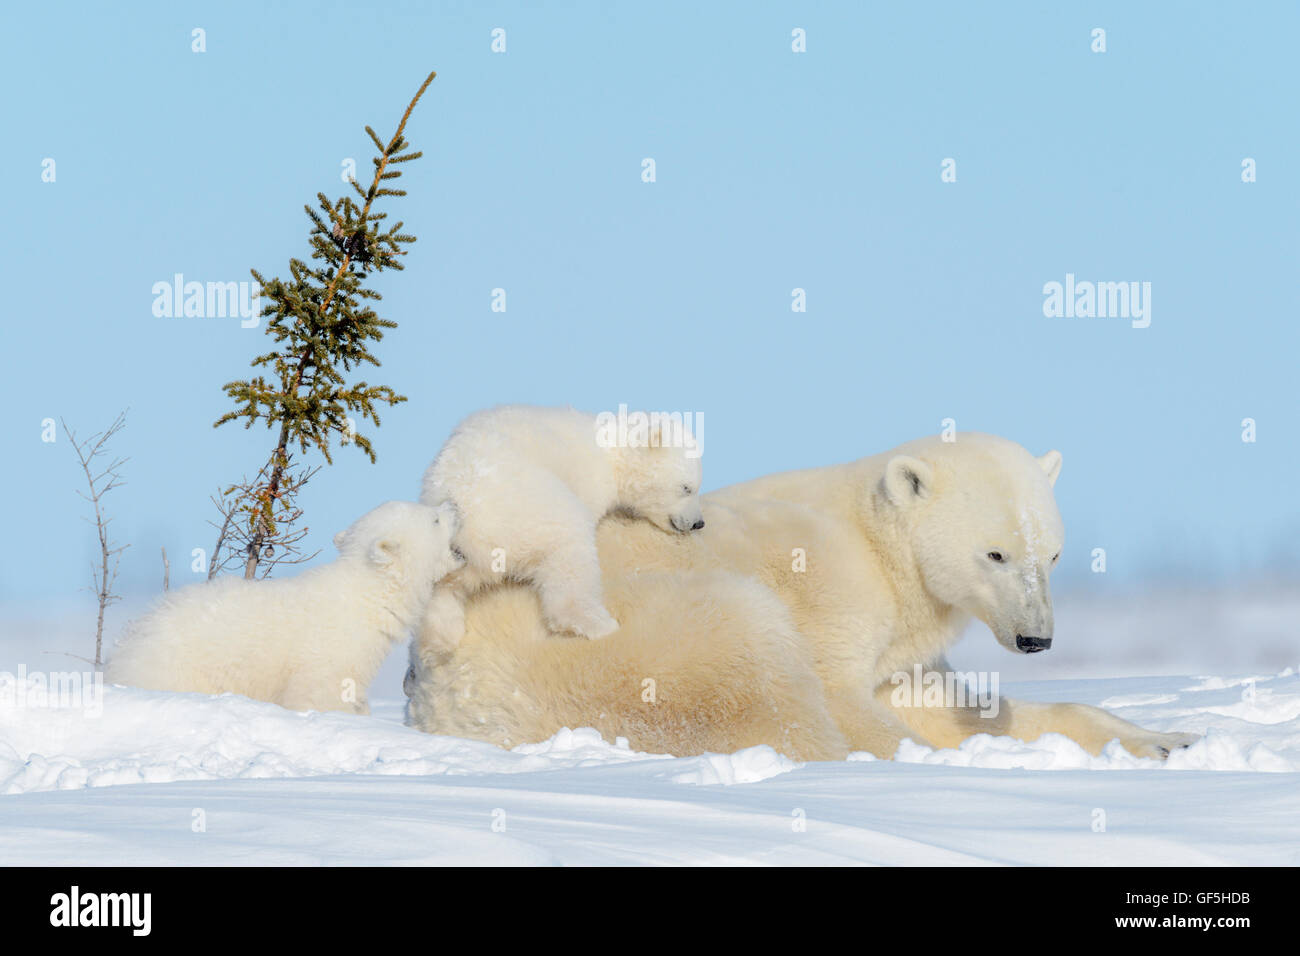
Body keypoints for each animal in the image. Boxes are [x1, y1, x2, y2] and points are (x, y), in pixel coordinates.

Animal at [107, 500, 462, 714]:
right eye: (434, 518)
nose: (453, 506)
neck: (365, 597)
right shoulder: (326, 658)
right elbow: (320, 695)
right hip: (178, 672)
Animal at [404, 432, 1198, 761]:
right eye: (994, 553)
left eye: (1053, 553)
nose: (1037, 638)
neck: (878, 542)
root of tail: (434, 691)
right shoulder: (830, 587)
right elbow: (842, 694)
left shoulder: (902, 646)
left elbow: (952, 703)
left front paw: (1169, 739)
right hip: (609, 643)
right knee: (754, 675)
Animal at [417, 405, 705, 654]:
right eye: (686, 487)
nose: (698, 523)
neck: (610, 452)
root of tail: (466, 512)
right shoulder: (590, 482)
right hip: (539, 509)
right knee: (570, 560)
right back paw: (601, 624)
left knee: (444, 586)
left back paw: (442, 635)